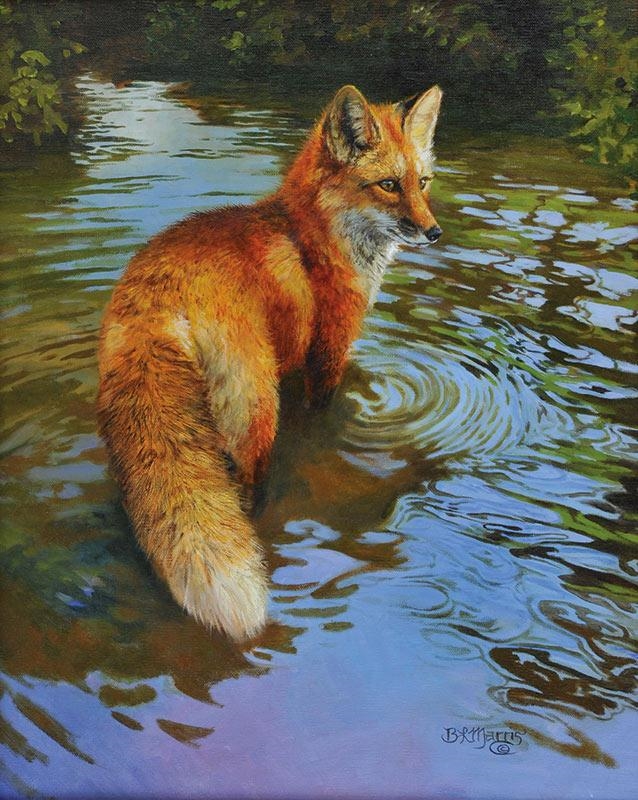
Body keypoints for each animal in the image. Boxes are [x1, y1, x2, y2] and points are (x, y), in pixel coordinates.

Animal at [97, 84, 443, 641]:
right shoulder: (325, 358)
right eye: (388, 185)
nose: (434, 232)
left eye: (423, 182)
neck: (313, 234)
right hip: (256, 412)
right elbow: (320, 417)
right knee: (244, 490)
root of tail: (162, 294)